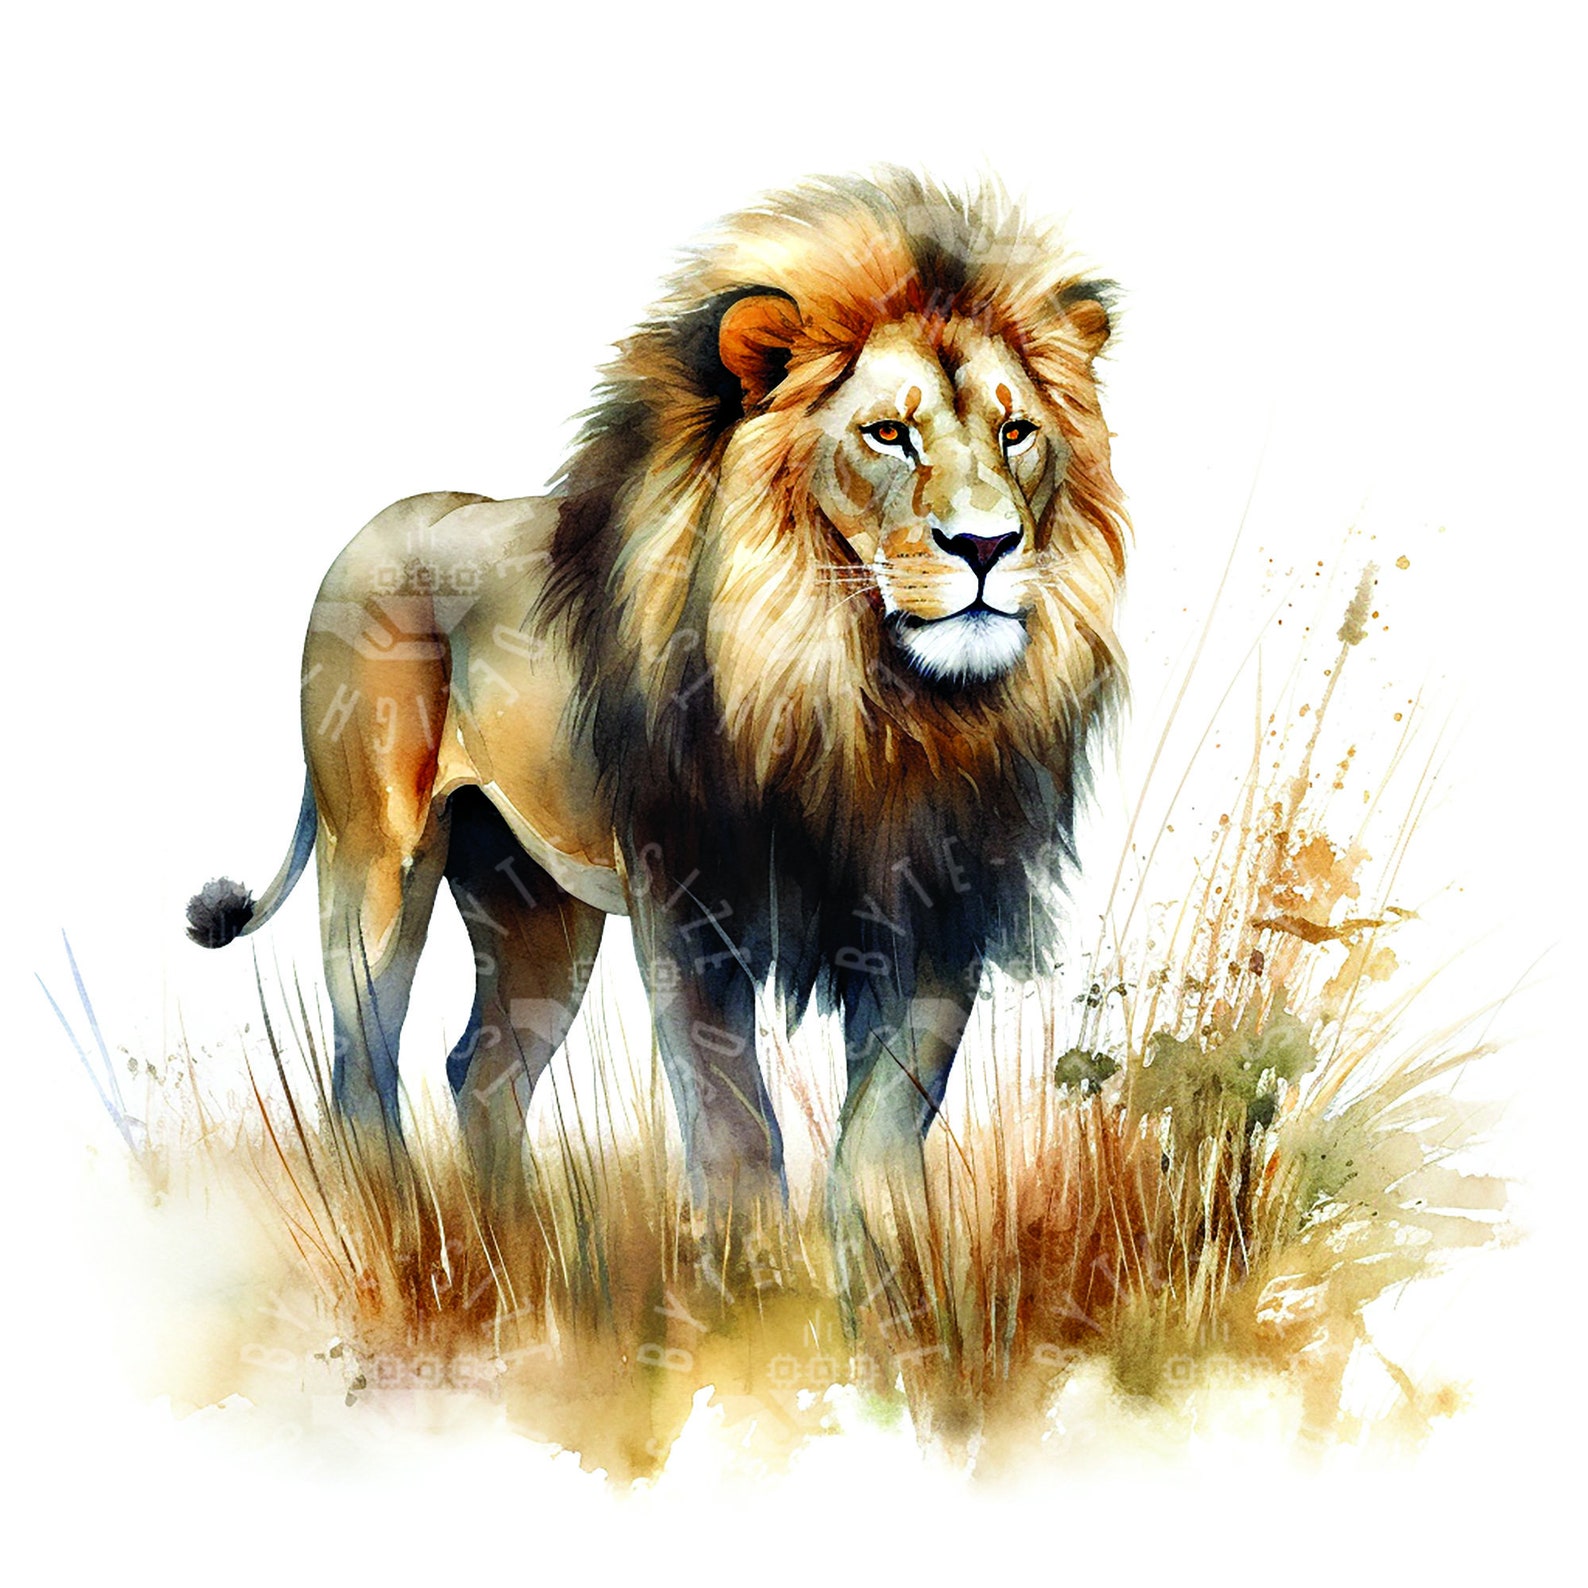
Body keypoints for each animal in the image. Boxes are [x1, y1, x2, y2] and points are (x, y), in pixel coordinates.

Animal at [187, 170, 1128, 1234]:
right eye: (889, 433)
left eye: (1016, 433)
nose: (986, 546)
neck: (872, 704)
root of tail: (369, 532)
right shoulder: (690, 895)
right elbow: (732, 1122)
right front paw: (753, 1263)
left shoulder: (939, 907)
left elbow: (885, 1128)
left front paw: (889, 1260)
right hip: (378, 861)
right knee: (361, 1065)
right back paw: (403, 1230)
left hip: (535, 906)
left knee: (481, 1070)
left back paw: (523, 1242)